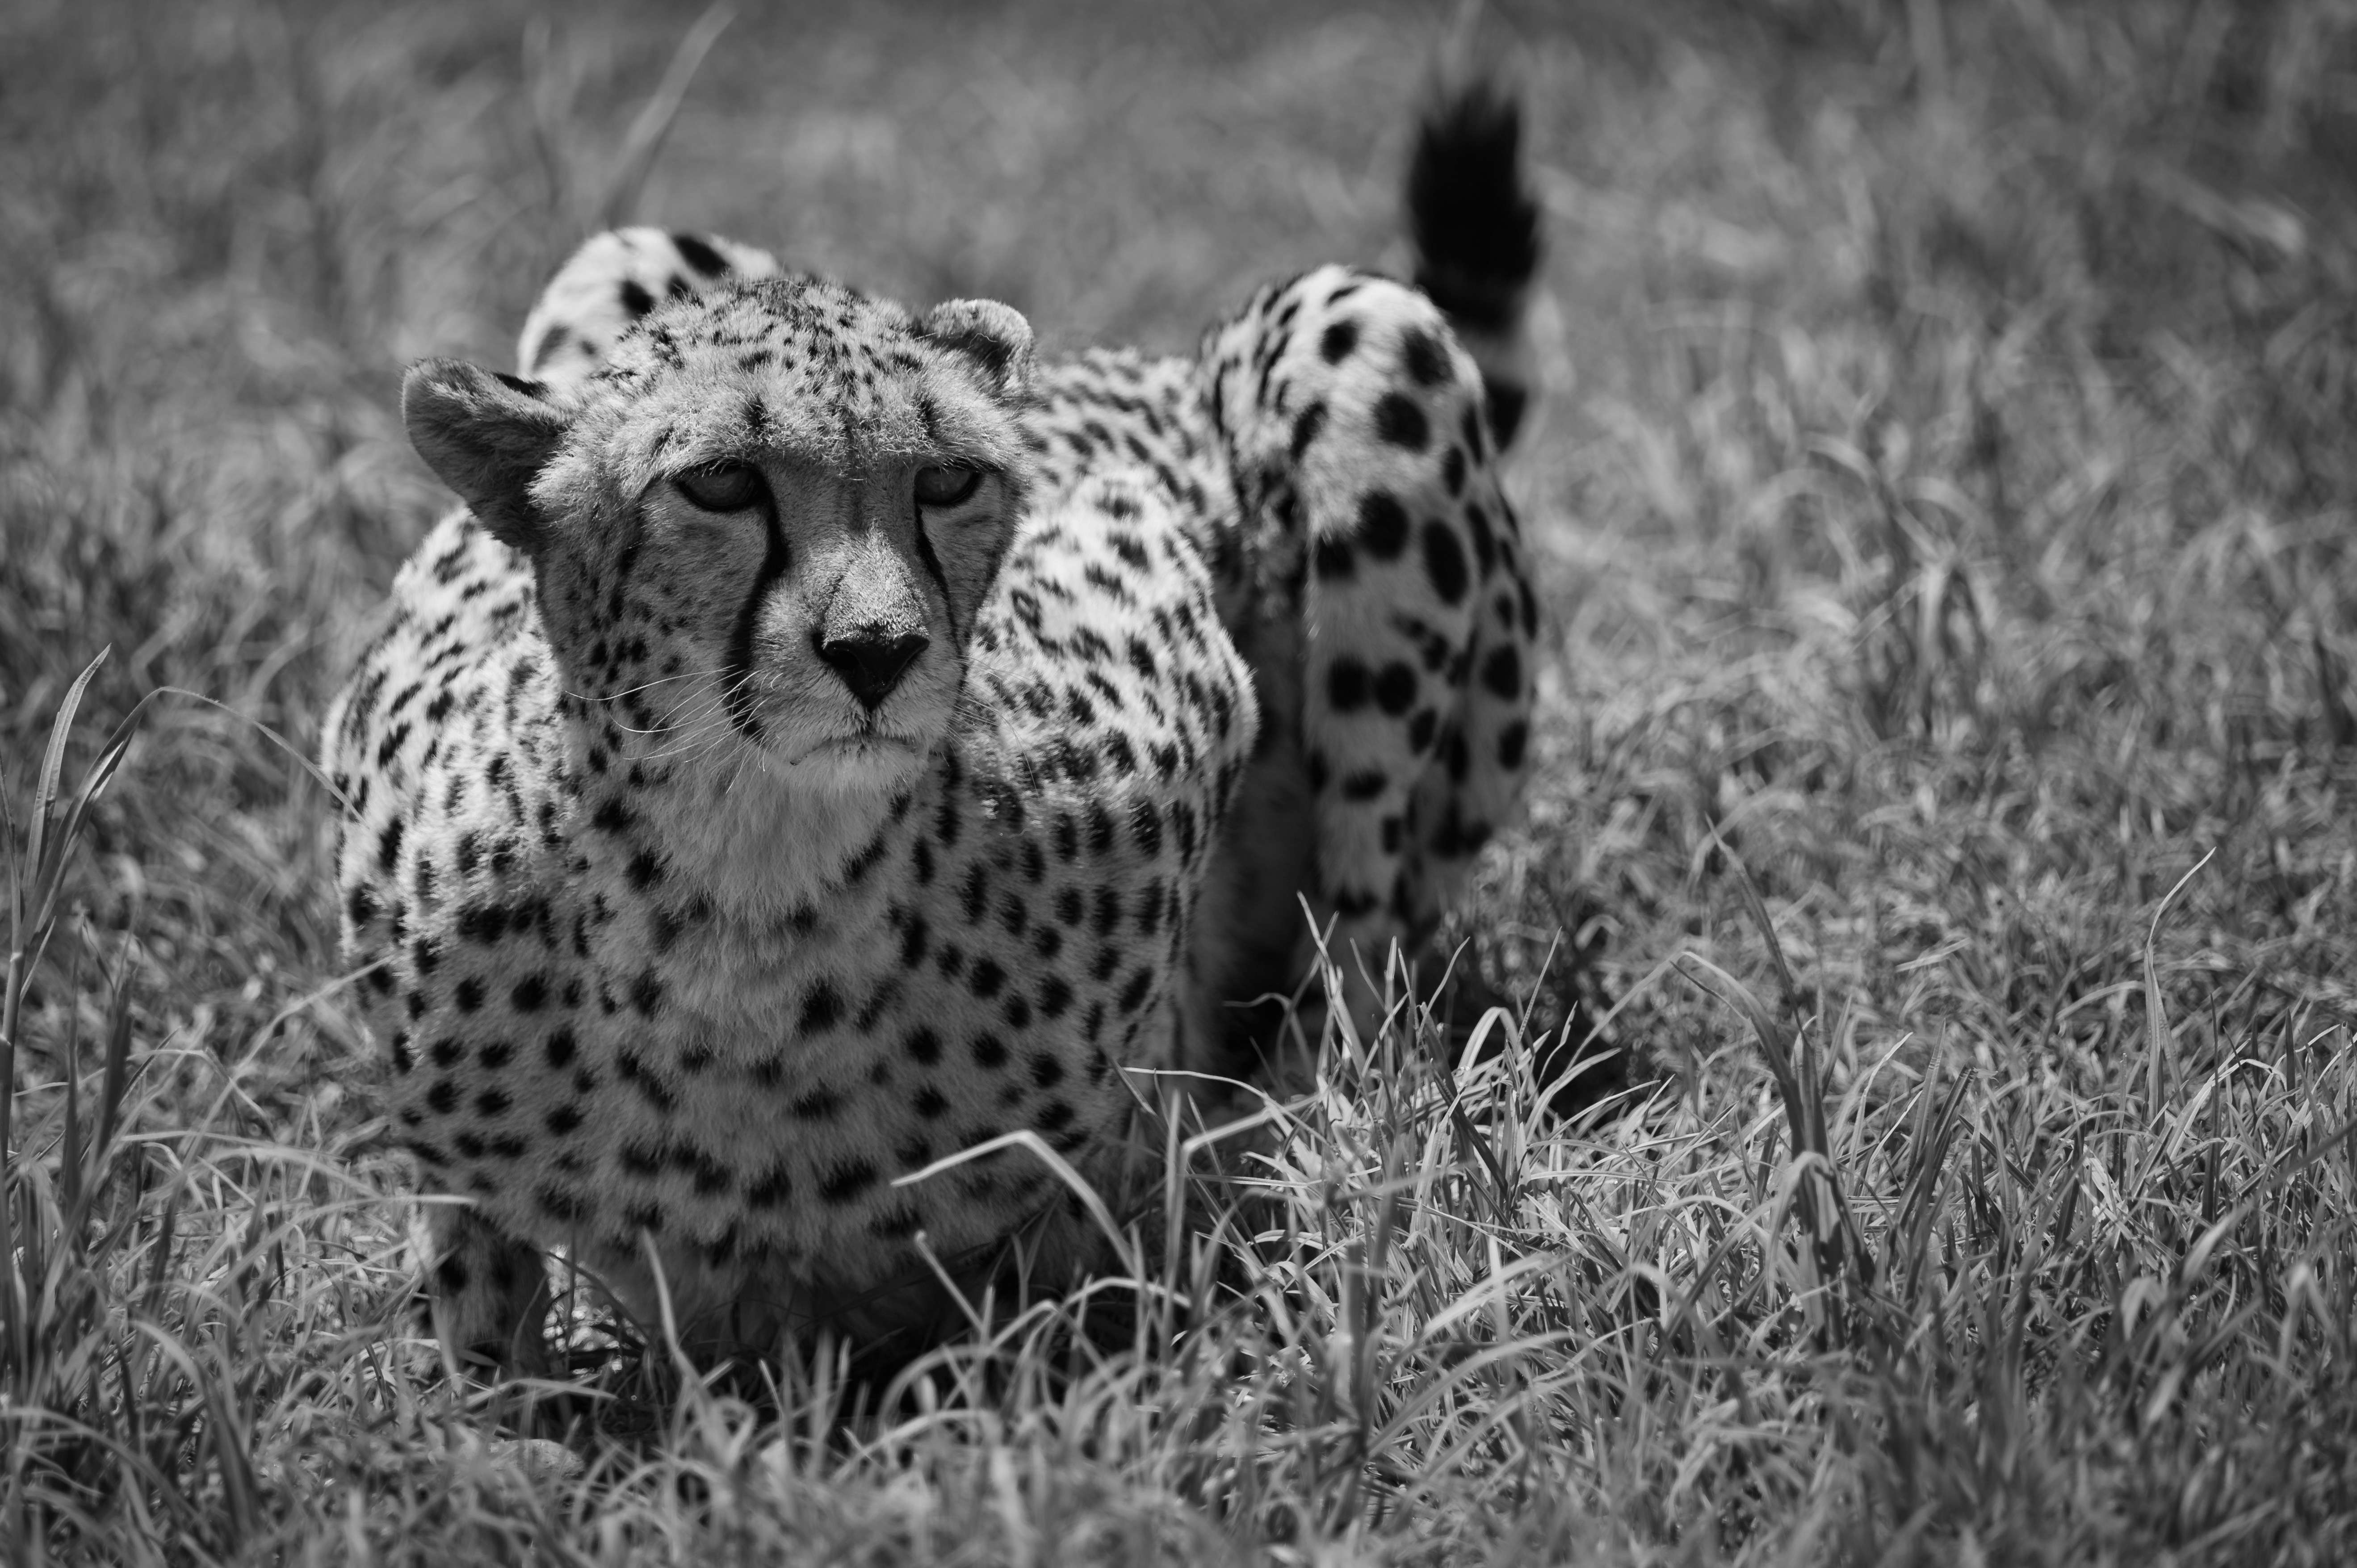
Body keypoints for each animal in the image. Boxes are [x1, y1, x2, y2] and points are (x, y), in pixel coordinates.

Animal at [321, 79, 1543, 1375]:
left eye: (949, 480)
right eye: (720, 482)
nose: (877, 650)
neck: (748, 896)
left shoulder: (1161, 603)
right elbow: (472, 1292)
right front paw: (483, 1395)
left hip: (1364, 332)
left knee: (1368, 953)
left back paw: (1313, 1136)